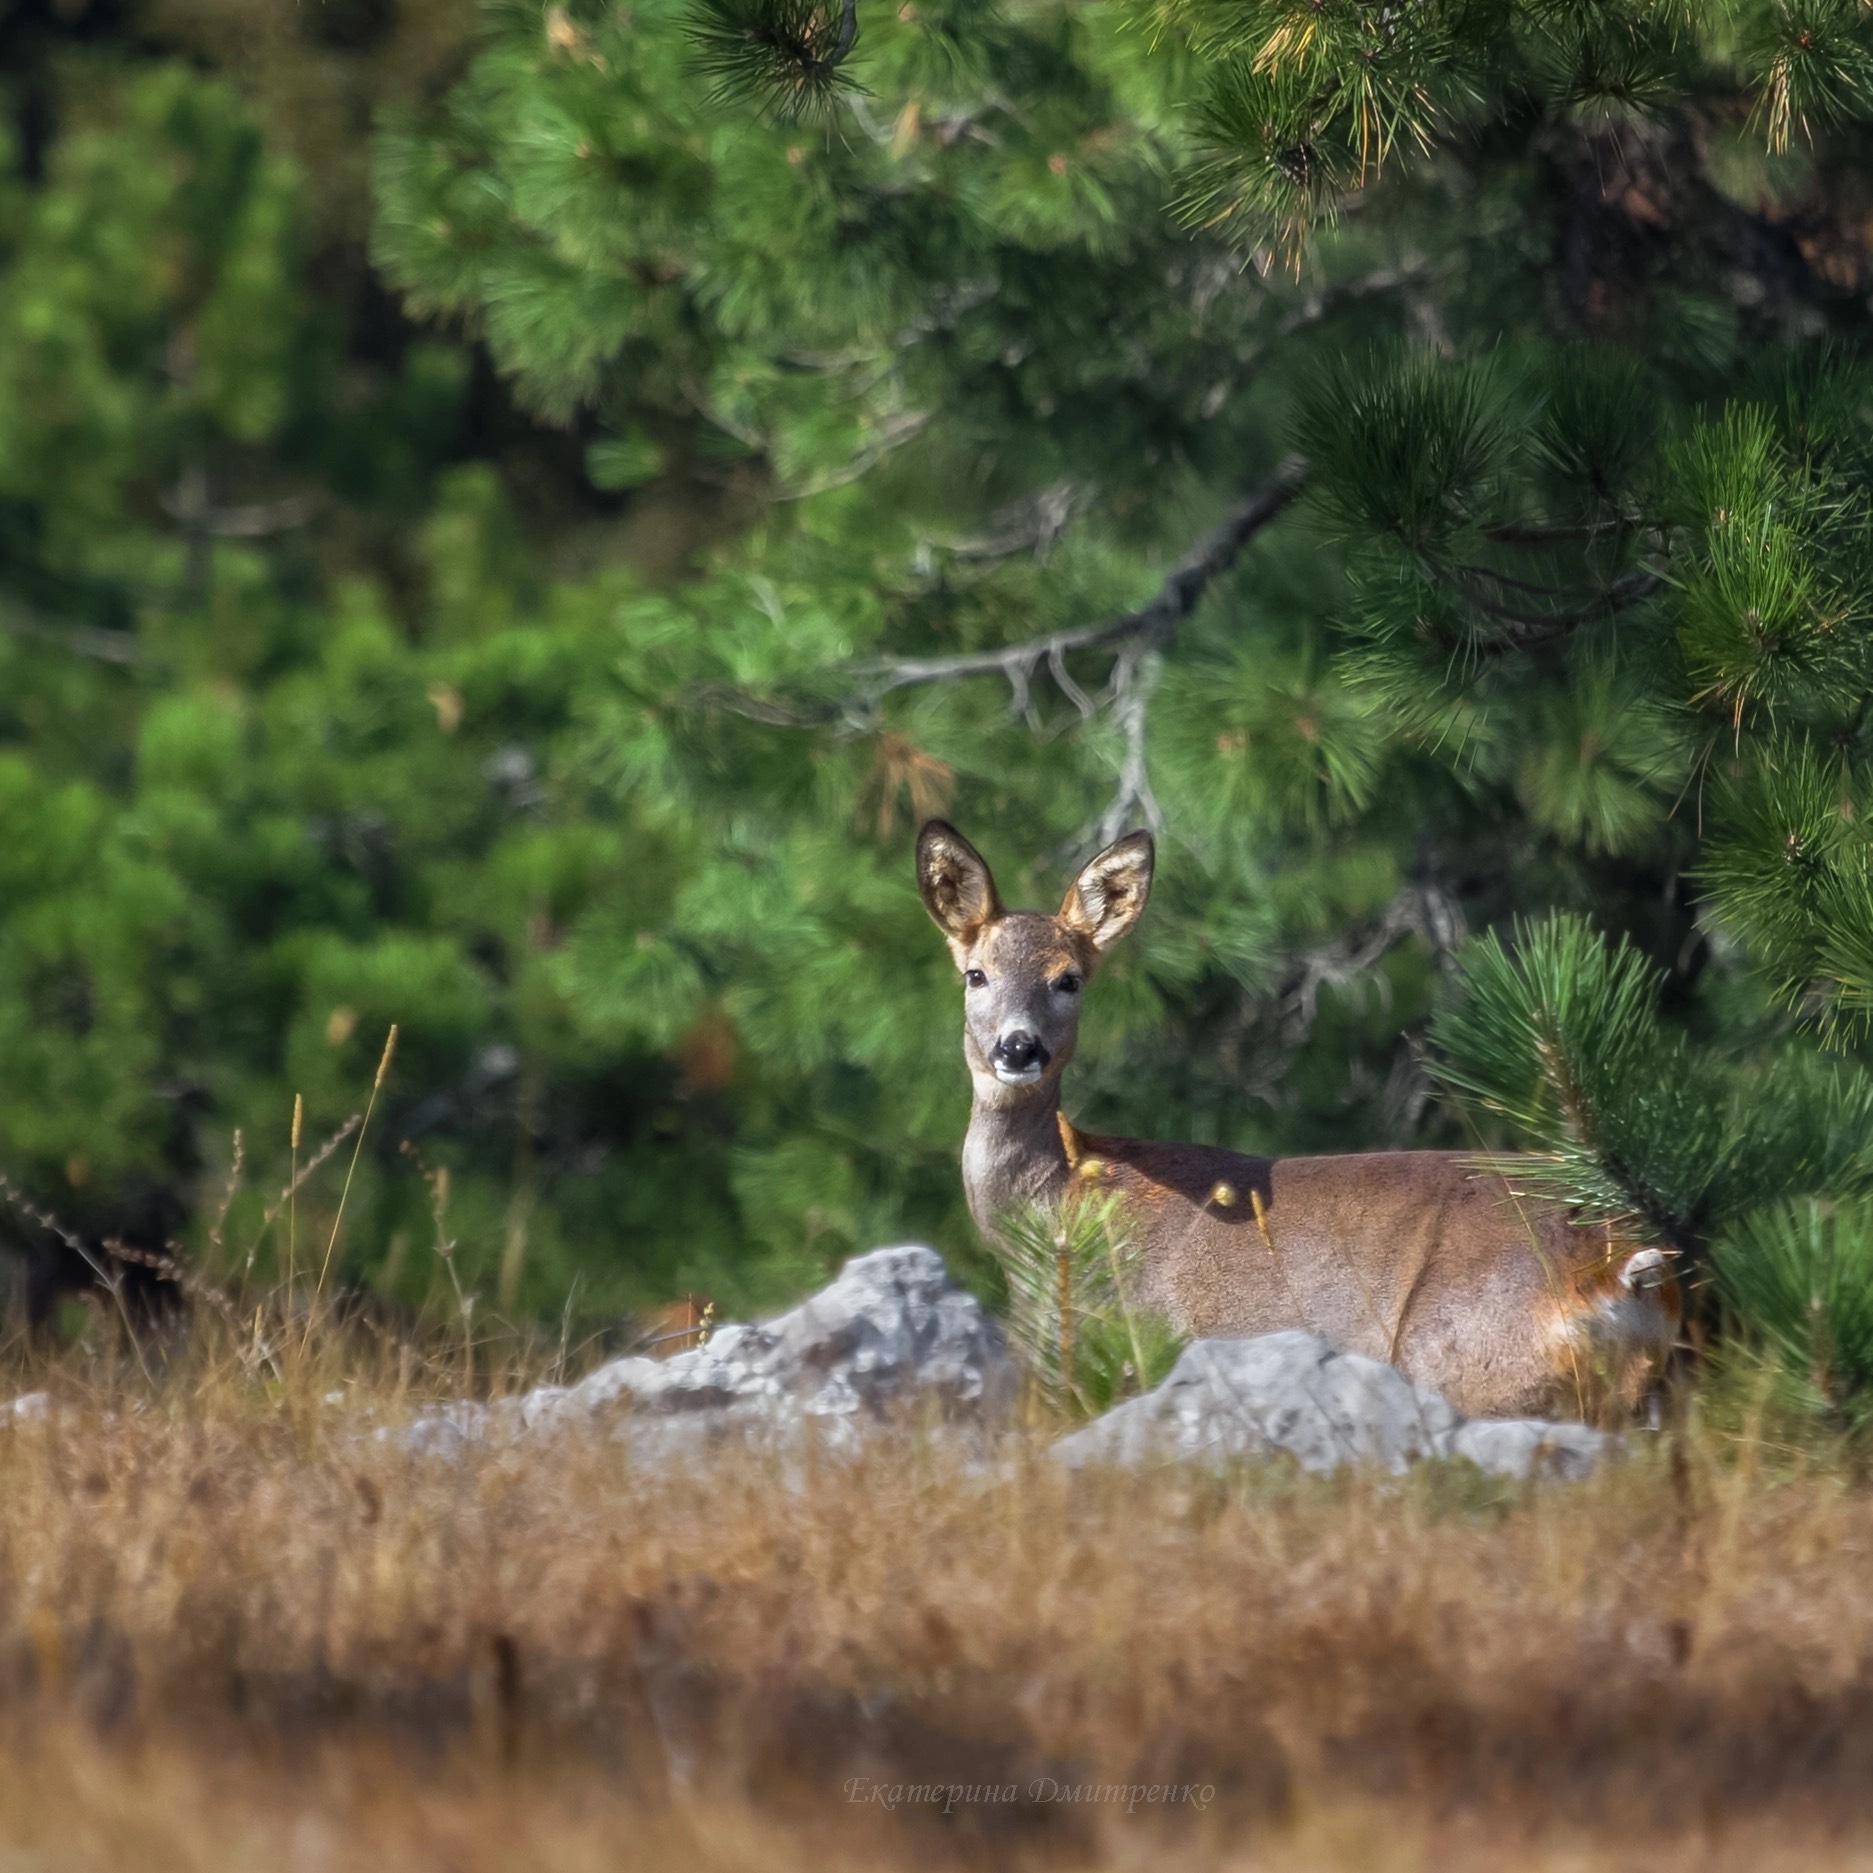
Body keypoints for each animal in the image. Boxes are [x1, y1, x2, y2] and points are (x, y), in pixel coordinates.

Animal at [921, 820, 1685, 1415]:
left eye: (1069, 979)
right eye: (976, 974)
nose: (1018, 1047)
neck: (1055, 1207)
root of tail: (1622, 1270)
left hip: (1462, 1361)